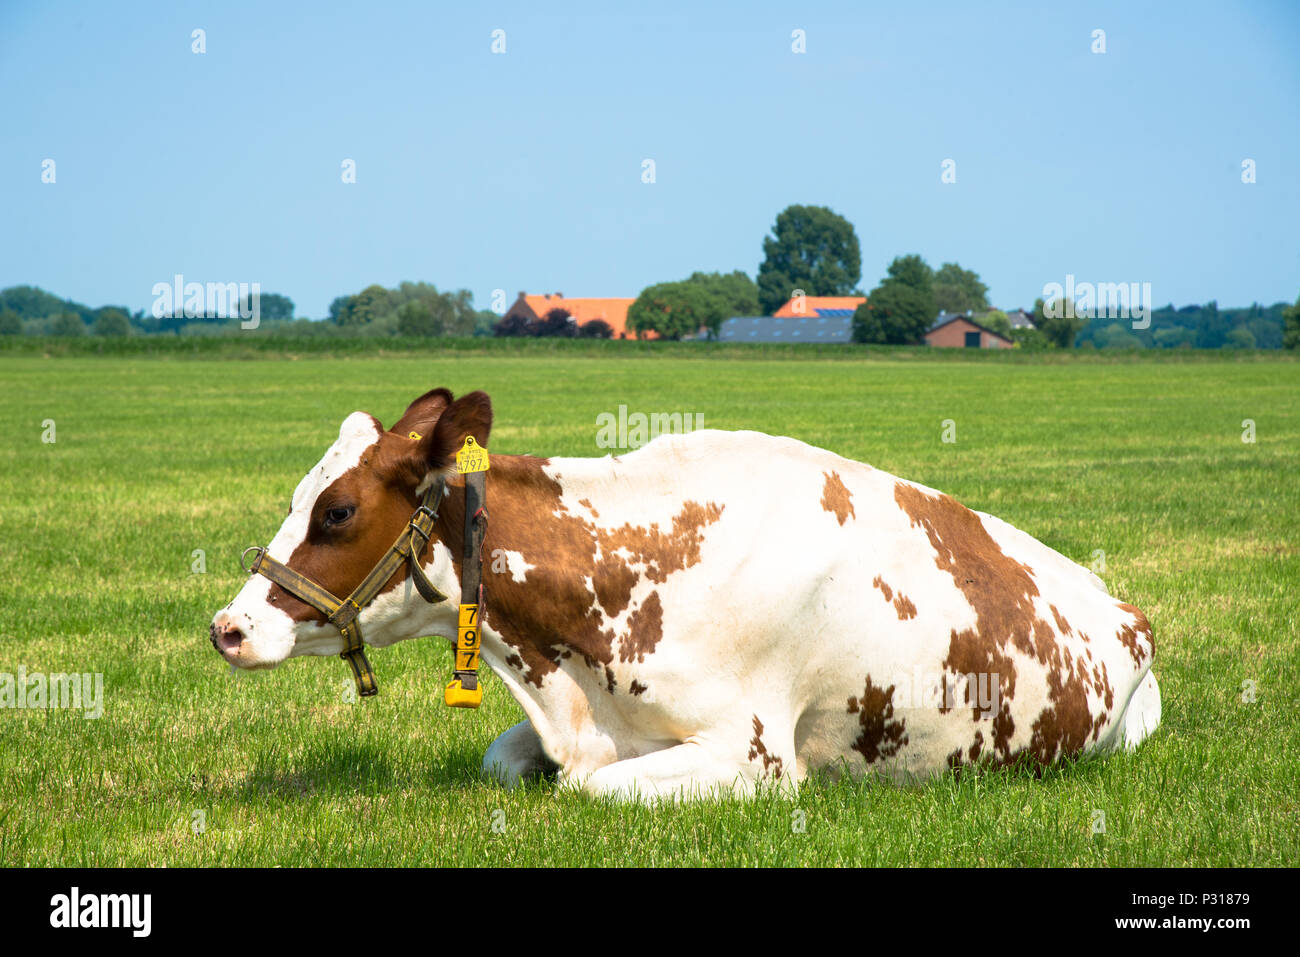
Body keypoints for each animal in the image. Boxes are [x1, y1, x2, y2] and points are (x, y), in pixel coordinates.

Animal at [210, 387, 1161, 802]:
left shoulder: (756, 754)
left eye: (335, 510)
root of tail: (1122, 605)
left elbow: (588, 790)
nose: (228, 626)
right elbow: (507, 760)